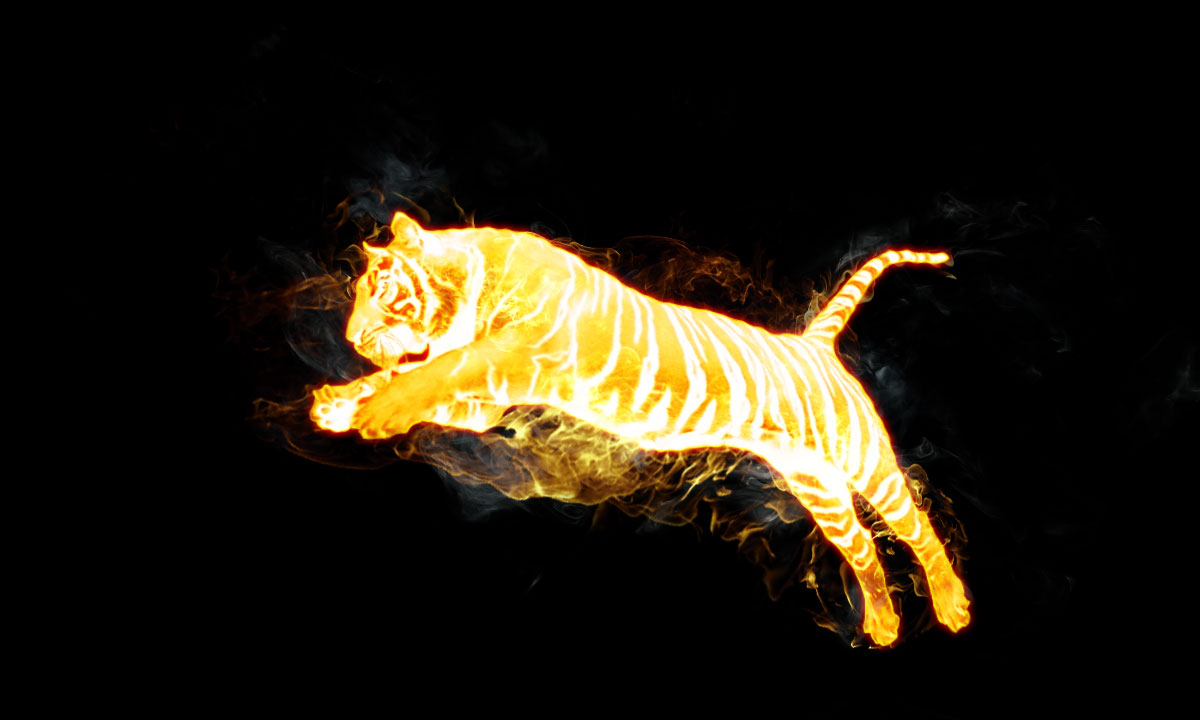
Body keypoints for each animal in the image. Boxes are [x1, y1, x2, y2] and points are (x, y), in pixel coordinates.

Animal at [311, 210, 972, 646]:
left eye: (382, 290)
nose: (351, 338)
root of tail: (812, 342)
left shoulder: (515, 351)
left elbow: (441, 368)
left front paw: (374, 410)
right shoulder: (485, 402)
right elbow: (417, 377)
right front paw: (341, 404)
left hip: (863, 461)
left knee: (916, 529)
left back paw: (953, 607)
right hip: (817, 485)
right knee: (861, 548)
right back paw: (882, 625)